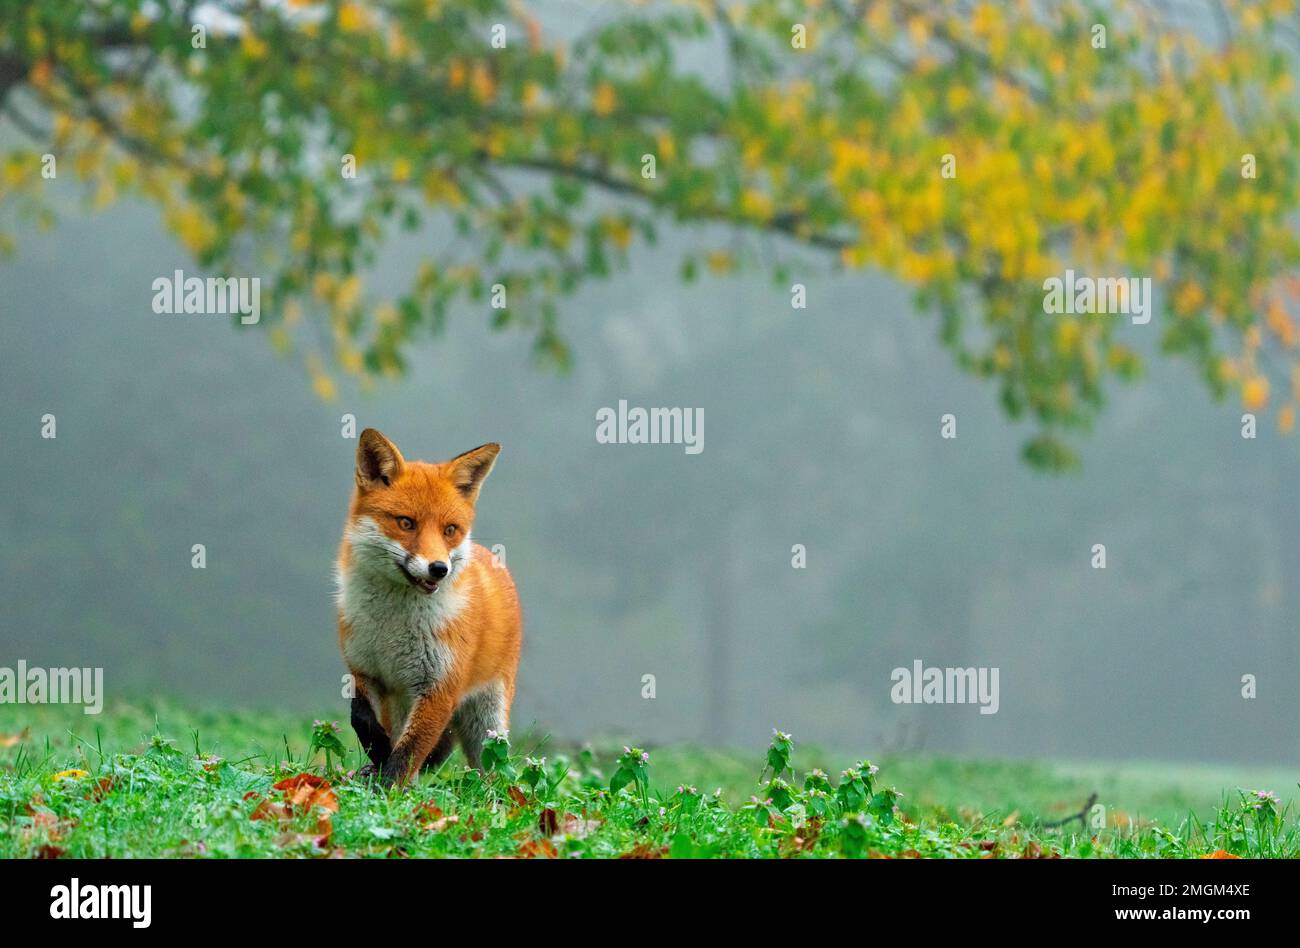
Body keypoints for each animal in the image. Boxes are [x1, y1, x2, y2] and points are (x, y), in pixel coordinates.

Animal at [335, 428, 521, 787]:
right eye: (406, 523)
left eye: (449, 530)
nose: (439, 569)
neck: (392, 626)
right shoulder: (363, 670)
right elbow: (360, 718)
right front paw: (378, 753)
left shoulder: (439, 687)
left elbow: (409, 753)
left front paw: (388, 790)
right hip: (400, 702)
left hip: (487, 725)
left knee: (491, 770)